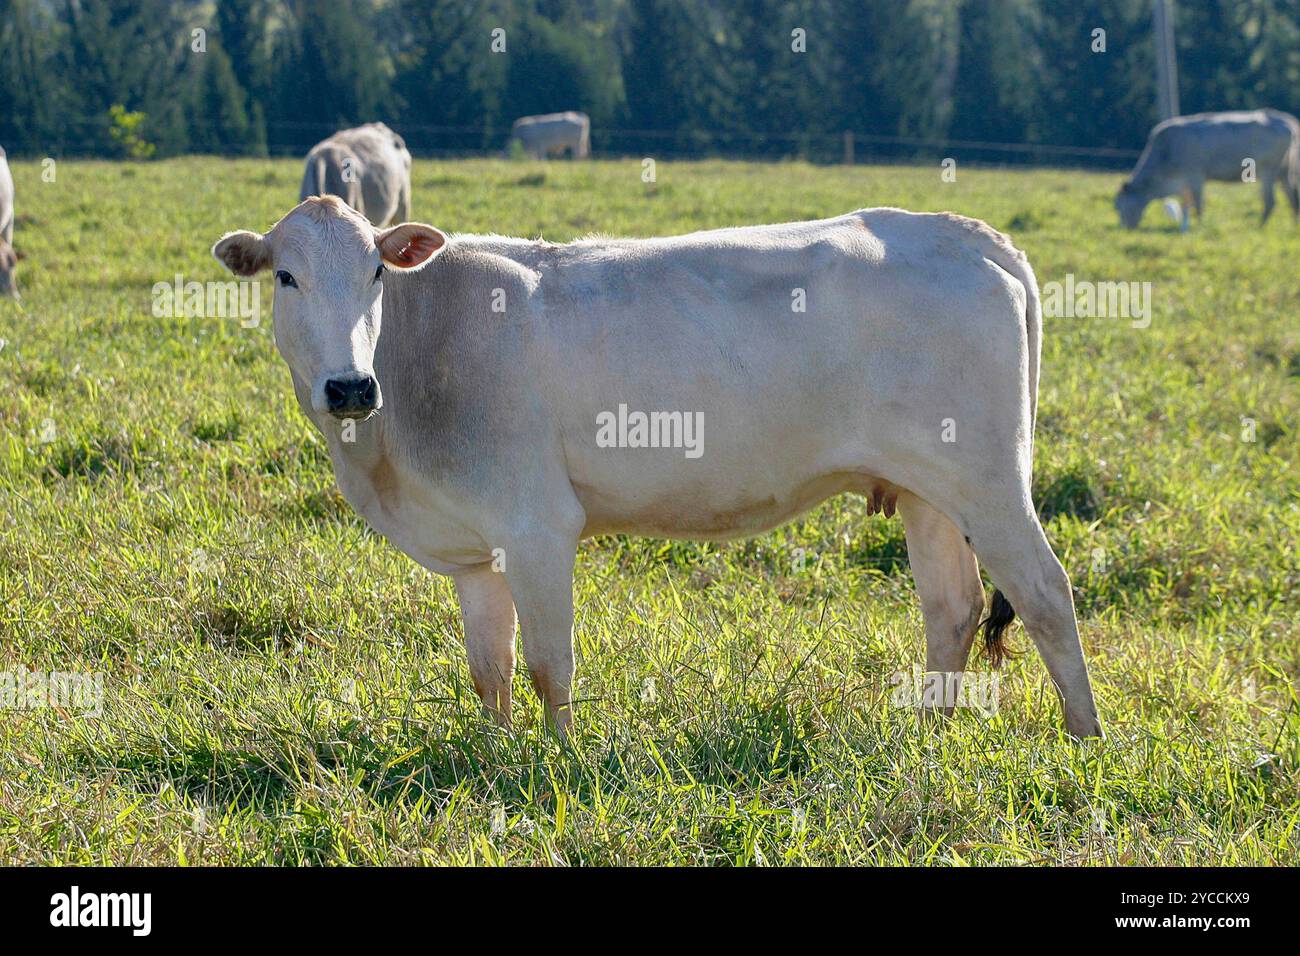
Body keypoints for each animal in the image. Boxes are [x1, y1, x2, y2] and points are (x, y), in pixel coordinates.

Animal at [212, 196, 1103, 740]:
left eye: (374, 273)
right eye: (286, 276)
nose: (349, 386)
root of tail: (960, 229)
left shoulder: (538, 527)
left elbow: (550, 664)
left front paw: (560, 761)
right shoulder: (475, 548)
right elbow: (489, 672)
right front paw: (496, 755)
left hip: (988, 478)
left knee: (1046, 594)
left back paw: (1083, 744)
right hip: (926, 488)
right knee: (952, 609)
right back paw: (925, 737)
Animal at [1116, 109, 1300, 231]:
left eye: (1121, 207)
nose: (1126, 229)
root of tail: (1287, 121)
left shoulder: (1195, 174)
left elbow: (1197, 202)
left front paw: (1200, 225)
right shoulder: (1182, 182)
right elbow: (1185, 204)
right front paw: (1184, 226)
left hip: (1268, 170)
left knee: (1270, 201)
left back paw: (1259, 227)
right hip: (1284, 172)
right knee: (1292, 197)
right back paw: (1293, 226)